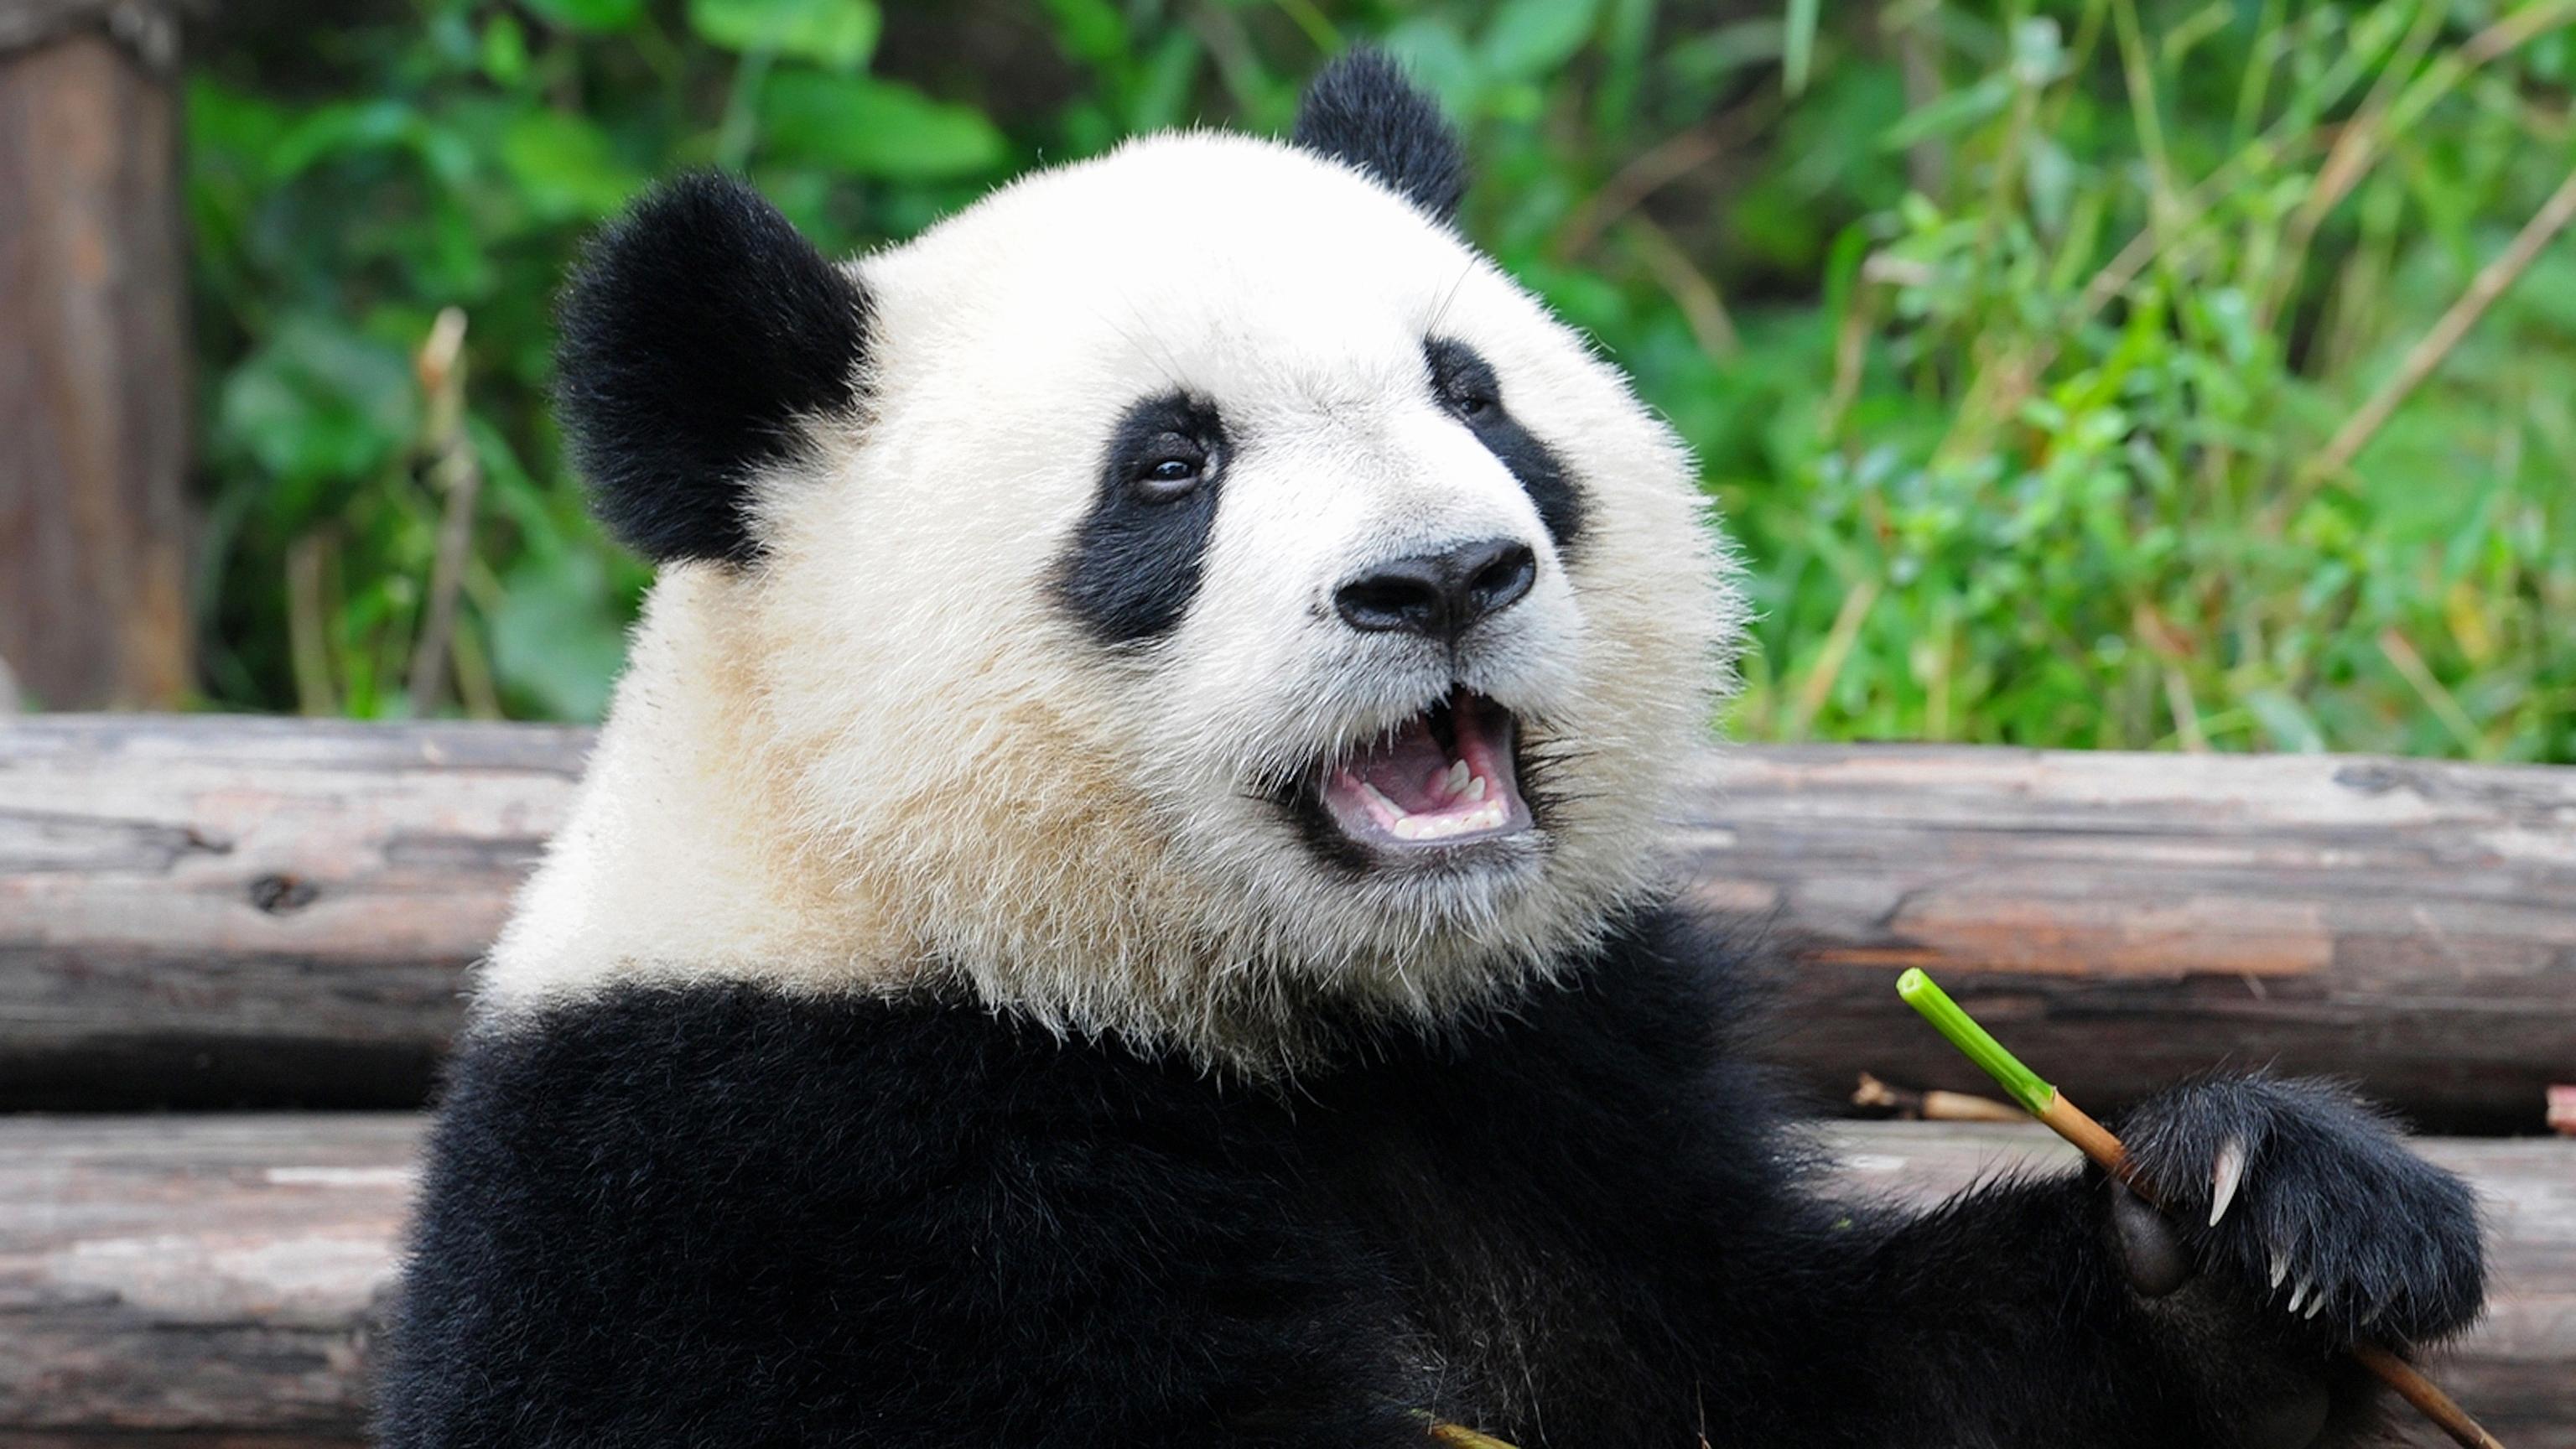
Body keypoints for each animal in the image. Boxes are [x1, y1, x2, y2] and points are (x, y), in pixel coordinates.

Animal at [380, 52, 2486, 1449]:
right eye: (1169, 466)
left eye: (1469, 393)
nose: (1445, 574)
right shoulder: (782, 1180)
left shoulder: (1555, 1084)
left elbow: (1817, 1375)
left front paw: (2256, 1217)